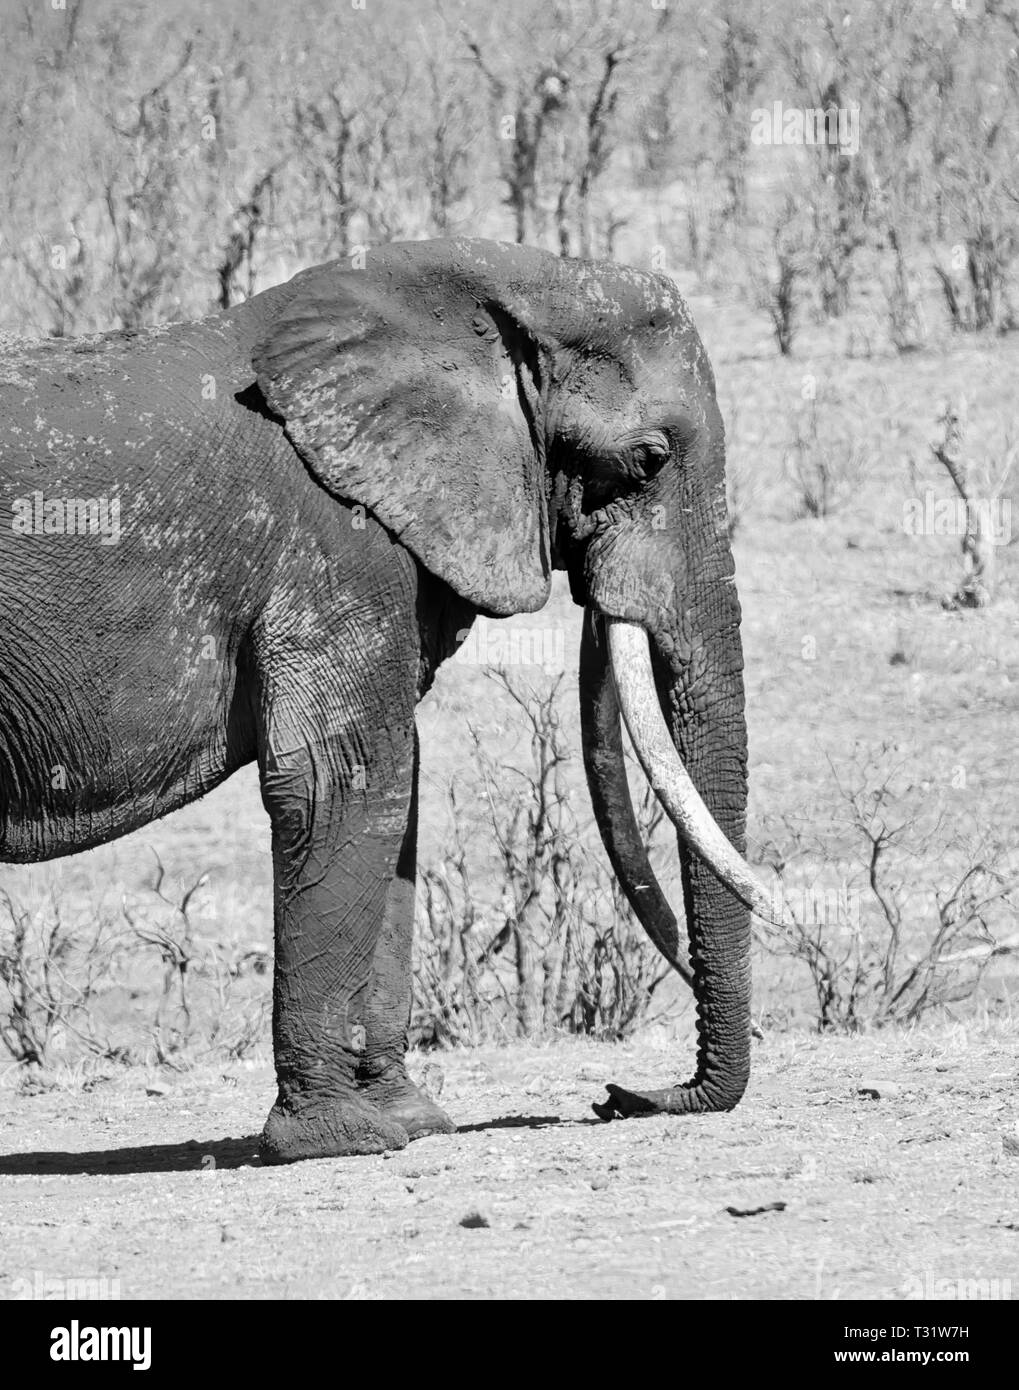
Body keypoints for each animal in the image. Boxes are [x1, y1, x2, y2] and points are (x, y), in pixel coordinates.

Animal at [0, 237, 776, 1163]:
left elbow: (393, 799)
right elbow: (341, 781)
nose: (617, 1096)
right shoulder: (335, 543)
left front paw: (410, 1122)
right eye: (649, 458)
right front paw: (339, 1140)